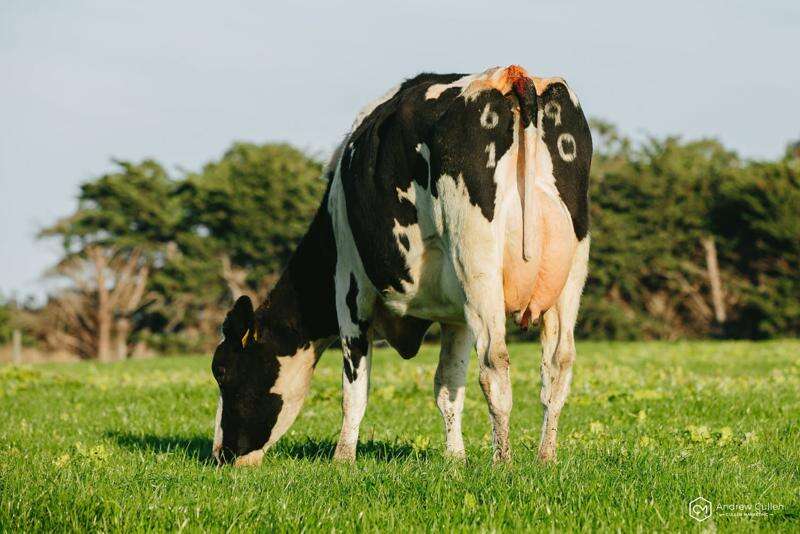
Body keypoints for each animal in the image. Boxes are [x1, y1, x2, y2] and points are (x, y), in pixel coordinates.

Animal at [211, 65, 592, 466]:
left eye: (221, 369)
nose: (221, 454)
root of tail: (513, 75)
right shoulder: (457, 316)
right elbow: (447, 388)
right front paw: (455, 459)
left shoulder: (350, 290)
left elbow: (354, 390)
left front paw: (342, 459)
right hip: (571, 268)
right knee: (558, 364)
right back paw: (545, 457)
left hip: (477, 258)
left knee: (495, 363)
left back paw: (502, 462)